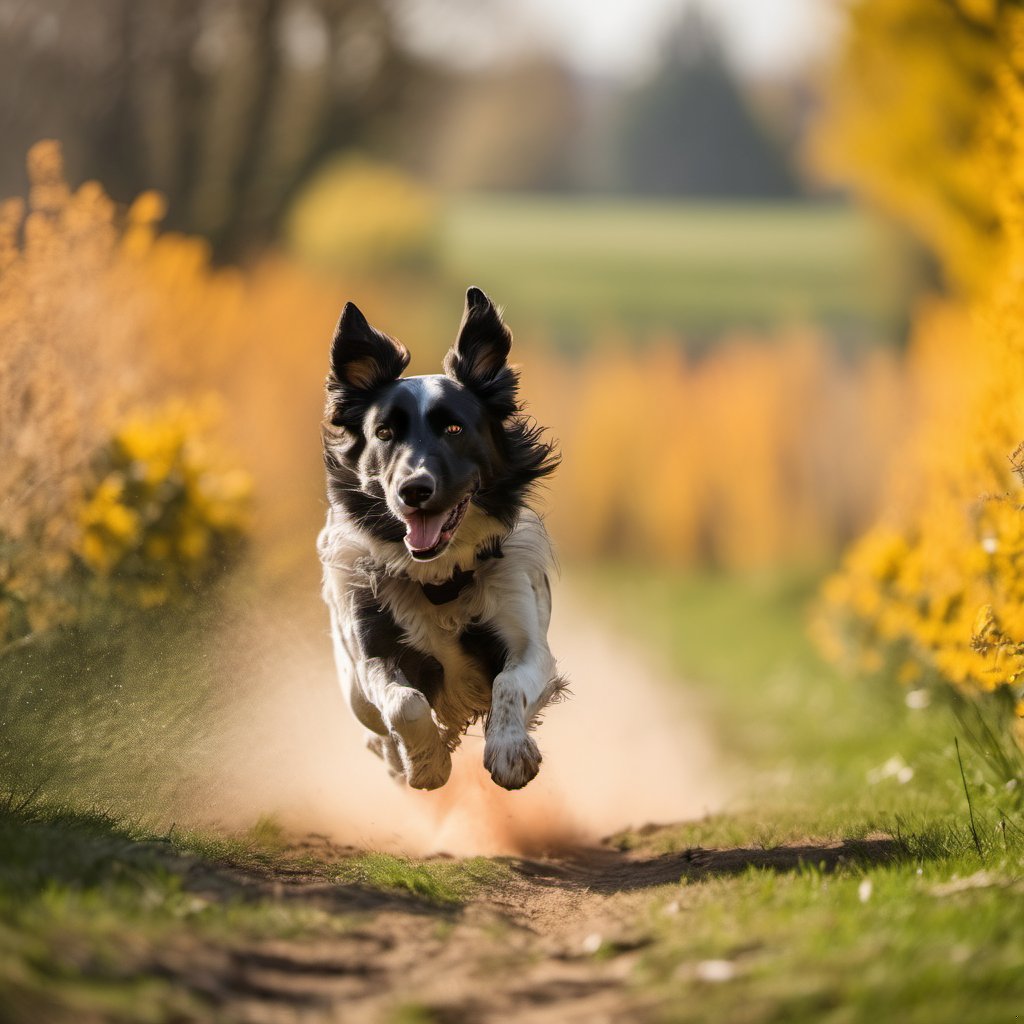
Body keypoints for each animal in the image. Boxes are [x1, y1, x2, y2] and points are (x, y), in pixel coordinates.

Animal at [315, 288, 565, 790]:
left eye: (454, 428)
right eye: (383, 433)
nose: (414, 490)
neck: (439, 578)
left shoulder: (528, 642)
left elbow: (508, 684)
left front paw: (510, 753)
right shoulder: (373, 656)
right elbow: (405, 703)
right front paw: (427, 763)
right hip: (353, 689)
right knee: (377, 724)